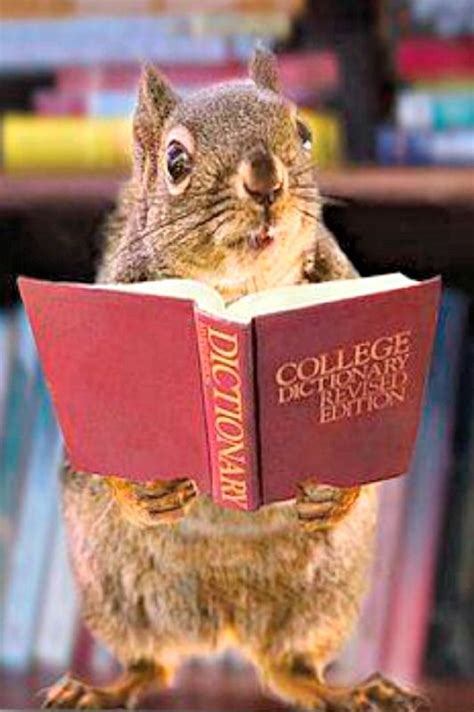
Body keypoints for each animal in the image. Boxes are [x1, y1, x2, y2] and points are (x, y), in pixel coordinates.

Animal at [43, 49, 428, 712]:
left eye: (303, 133)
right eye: (175, 161)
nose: (266, 181)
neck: (240, 290)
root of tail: (226, 624)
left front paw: (332, 490)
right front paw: (145, 490)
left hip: (326, 595)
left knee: (290, 667)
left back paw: (350, 691)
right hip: (113, 592)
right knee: (151, 664)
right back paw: (103, 689)